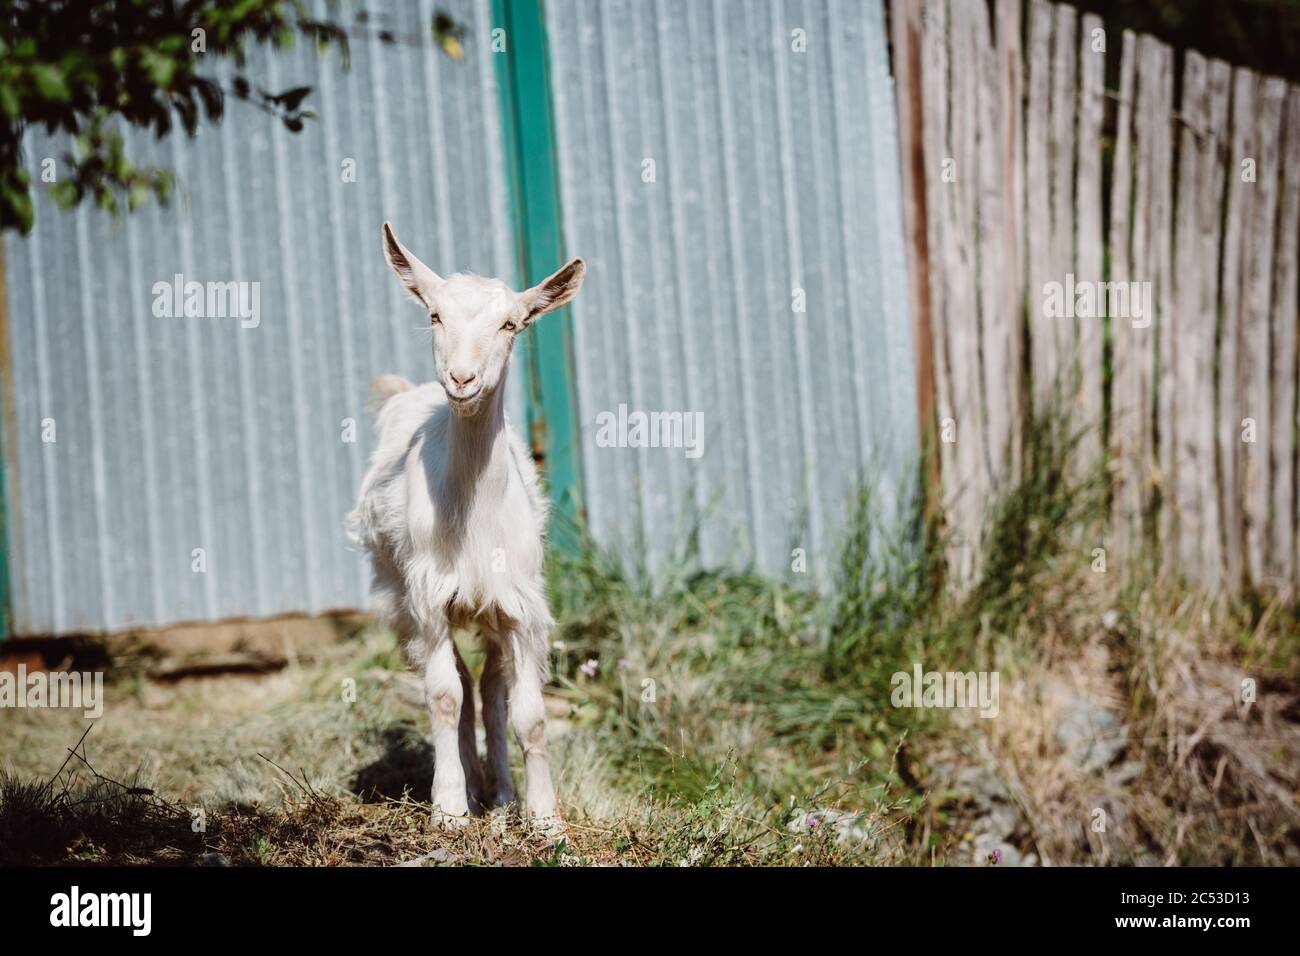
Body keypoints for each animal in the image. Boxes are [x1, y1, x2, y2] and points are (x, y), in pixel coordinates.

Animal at [347, 222, 585, 828]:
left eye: (511, 324)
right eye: (434, 315)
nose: (461, 378)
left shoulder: (520, 604)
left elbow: (529, 713)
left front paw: (545, 818)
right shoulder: (429, 599)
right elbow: (444, 698)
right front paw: (451, 808)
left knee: (492, 691)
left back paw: (499, 793)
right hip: (402, 598)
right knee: (460, 687)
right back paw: (476, 790)